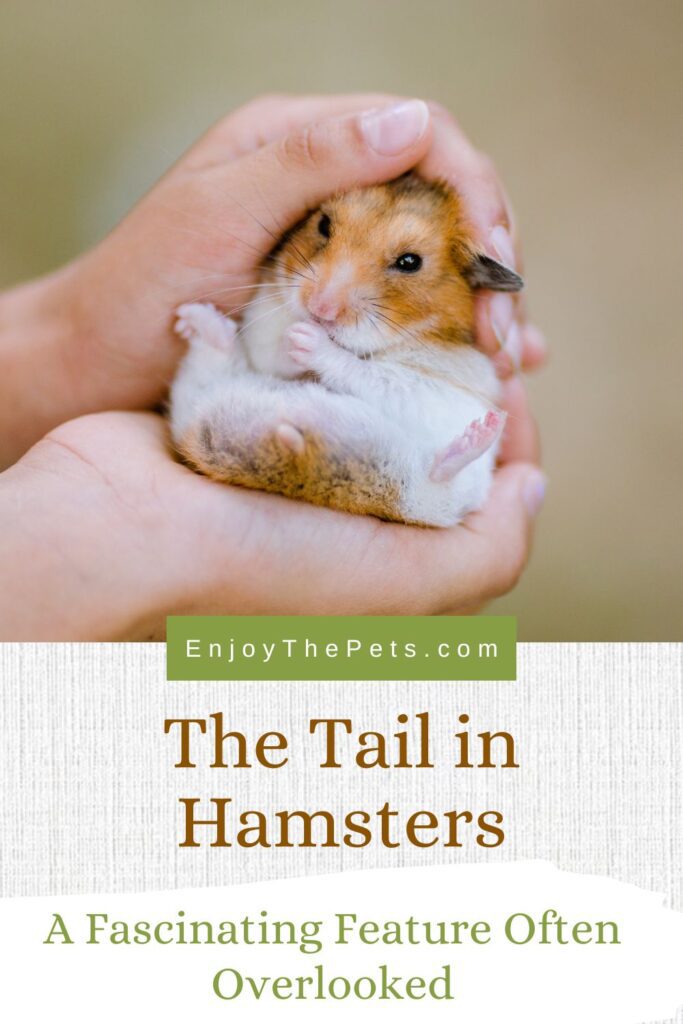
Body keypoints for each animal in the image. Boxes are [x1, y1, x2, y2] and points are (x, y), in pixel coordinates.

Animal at [169, 174, 523, 527]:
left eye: (410, 262)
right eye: (323, 224)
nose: (318, 309)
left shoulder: (436, 389)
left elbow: (370, 373)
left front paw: (306, 338)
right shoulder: (262, 326)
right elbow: (272, 353)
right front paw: (294, 335)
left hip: (439, 494)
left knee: (439, 476)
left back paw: (482, 432)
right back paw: (195, 320)